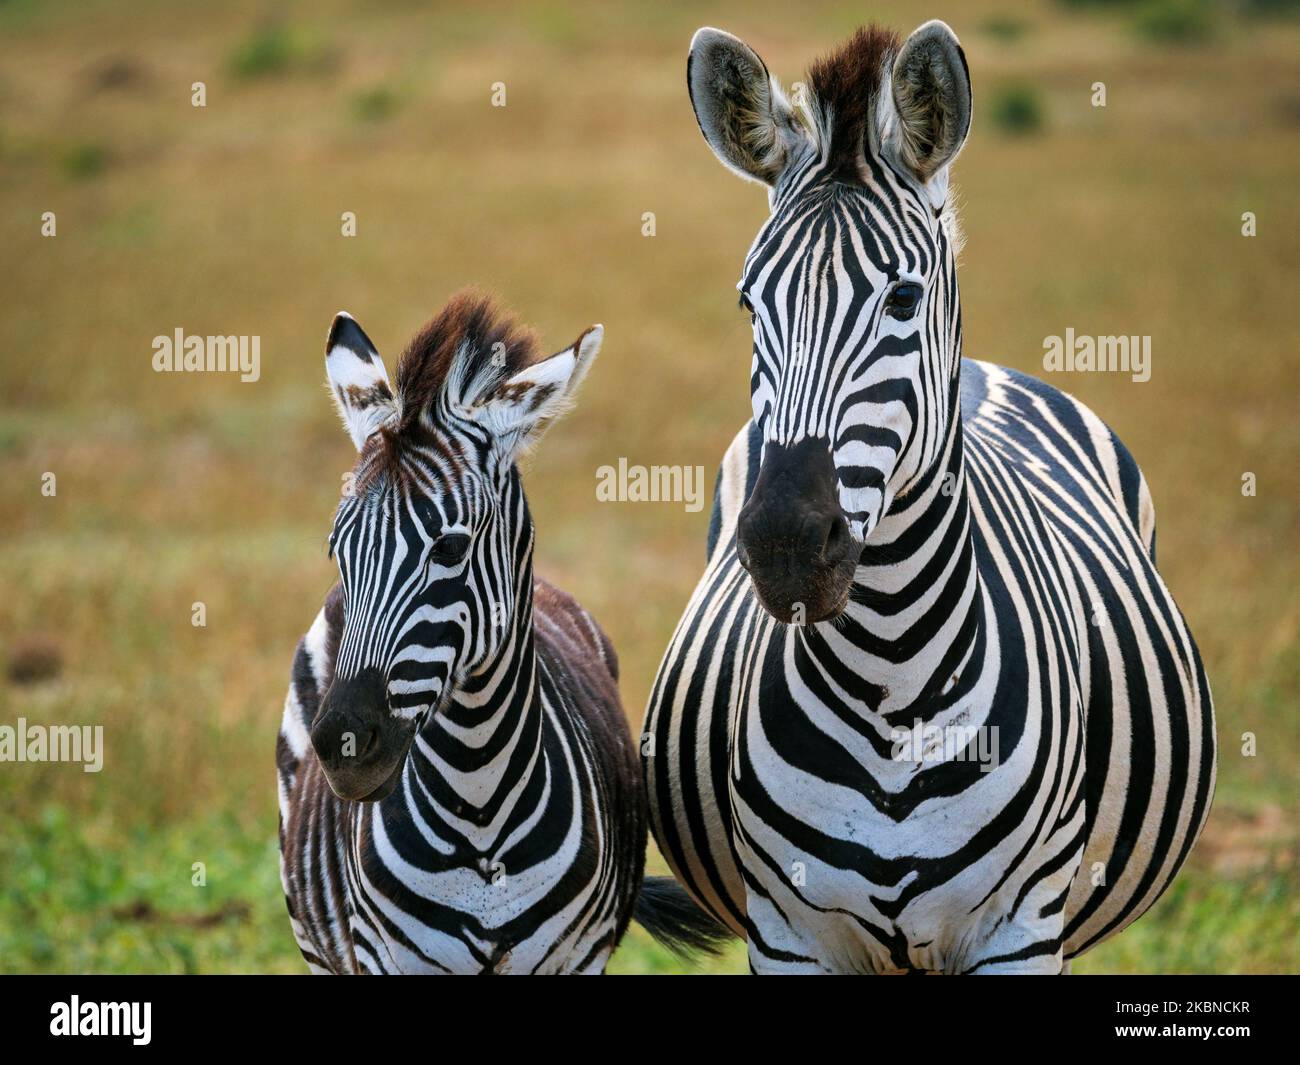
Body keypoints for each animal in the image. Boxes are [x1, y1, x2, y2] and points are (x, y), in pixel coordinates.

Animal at [277, 290, 726, 973]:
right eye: (337, 550)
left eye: (451, 548)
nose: (346, 745)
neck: (479, 798)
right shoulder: (388, 958)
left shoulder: (575, 957)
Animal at [643, 21, 1216, 974]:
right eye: (749, 303)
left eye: (904, 297)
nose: (785, 547)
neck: (891, 680)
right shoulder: (788, 933)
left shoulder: (1022, 928)